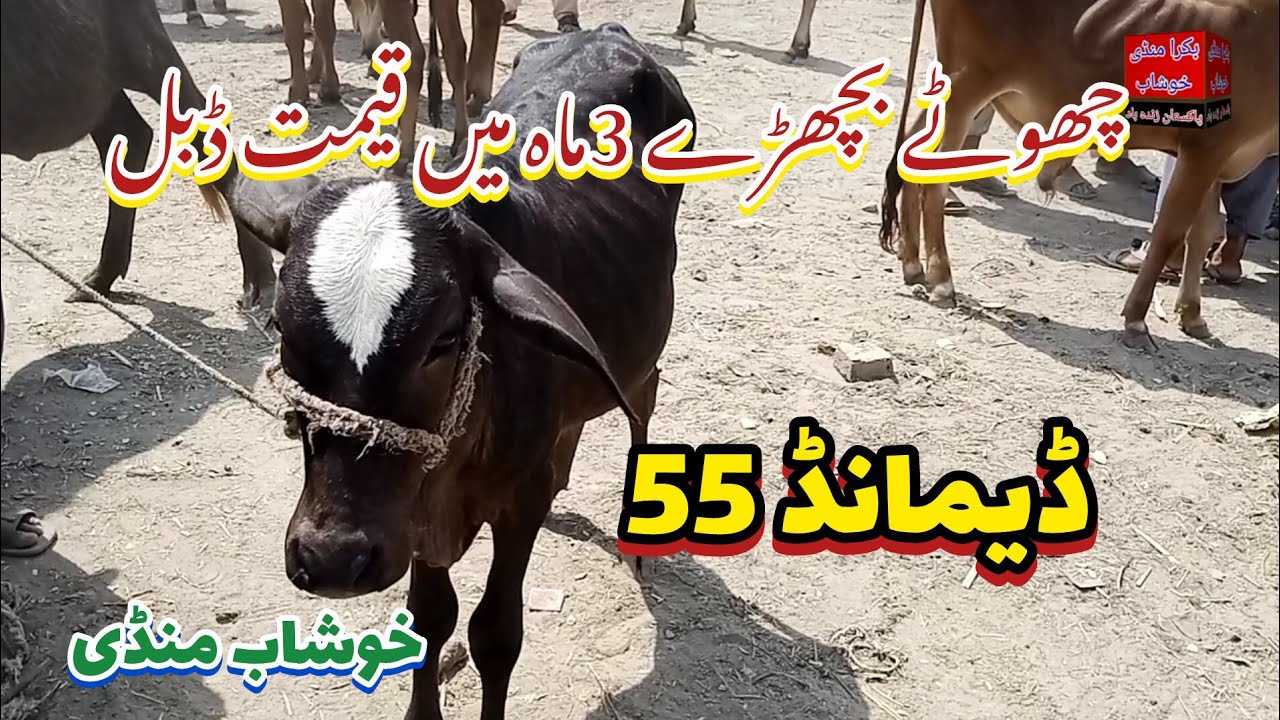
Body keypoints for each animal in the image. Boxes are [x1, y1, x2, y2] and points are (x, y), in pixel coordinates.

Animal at [236, 23, 694, 720]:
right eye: (284, 328)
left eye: (444, 339)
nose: (334, 558)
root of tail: (607, 32)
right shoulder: (418, 518)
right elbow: (430, 620)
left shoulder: (515, 507)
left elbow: (494, 634)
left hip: (642, 349)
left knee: (643, 400)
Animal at [878, 0, 1279, 350]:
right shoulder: (1203, 151)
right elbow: (1169, 232)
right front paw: (1137, 319)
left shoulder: (1218, 157)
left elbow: (1201, 234)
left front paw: (1192, 315)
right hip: (967, 86)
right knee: (932, 182)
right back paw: (942, 280)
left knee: (909, 160)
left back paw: (913, 265)